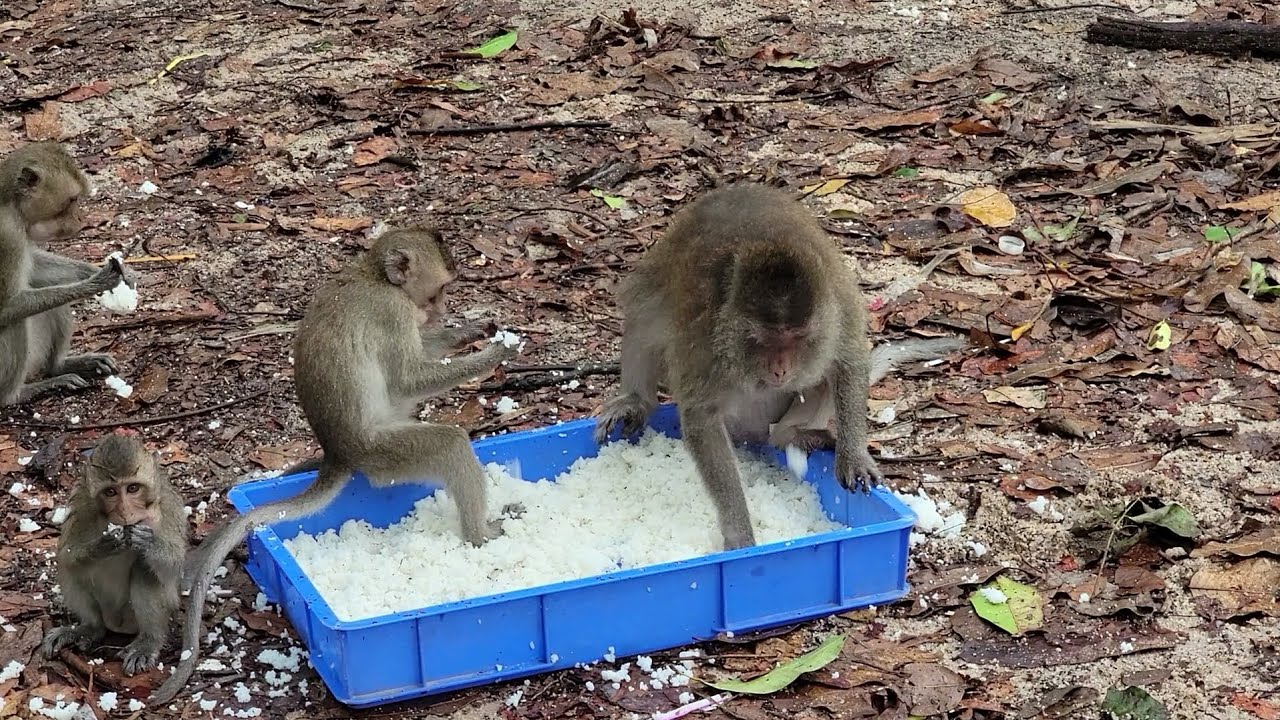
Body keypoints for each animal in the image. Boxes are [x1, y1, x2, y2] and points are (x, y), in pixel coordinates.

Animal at [0, 142, 133, 406]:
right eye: (72, 200)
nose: (81, 219)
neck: (10, 205)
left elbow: (36, 268)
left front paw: (92, 271)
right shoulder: (7, 237)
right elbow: (7, 306)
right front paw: (93, 284)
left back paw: (59, 367)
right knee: (15, 317)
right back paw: (16, 394)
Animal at [40, 434, 188, 675]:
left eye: (133, 488)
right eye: (111, 492)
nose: (126, 513)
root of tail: (117, 624)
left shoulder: (168, 505)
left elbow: (174, 565)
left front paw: (147, 542)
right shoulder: (82, 504)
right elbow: (67, 554)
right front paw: (104, 545)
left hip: (144, 613)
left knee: (145, 570)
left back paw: (148, 642)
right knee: (71, 570)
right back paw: (89, 628)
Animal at [151, 225, 519, 705]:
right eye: (438, 290)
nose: (439, 311)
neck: (374, 277)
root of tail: (340, 452)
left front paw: (473, 330)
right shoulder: (392, 313)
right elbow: (410, 376)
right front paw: (495, 352)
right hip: (383, 453)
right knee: (449, 443)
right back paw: (481, 535)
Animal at [595, 183, 965, 551]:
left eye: (797, 337)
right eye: (763, 340)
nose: (780, 370)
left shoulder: (836, 305)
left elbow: (849, 359)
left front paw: (854, 455)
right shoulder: (703, 340)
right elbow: (700, 416)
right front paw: (740, 534)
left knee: (817, 382)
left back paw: (792, 435)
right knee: (646, 310)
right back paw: (636, 400)